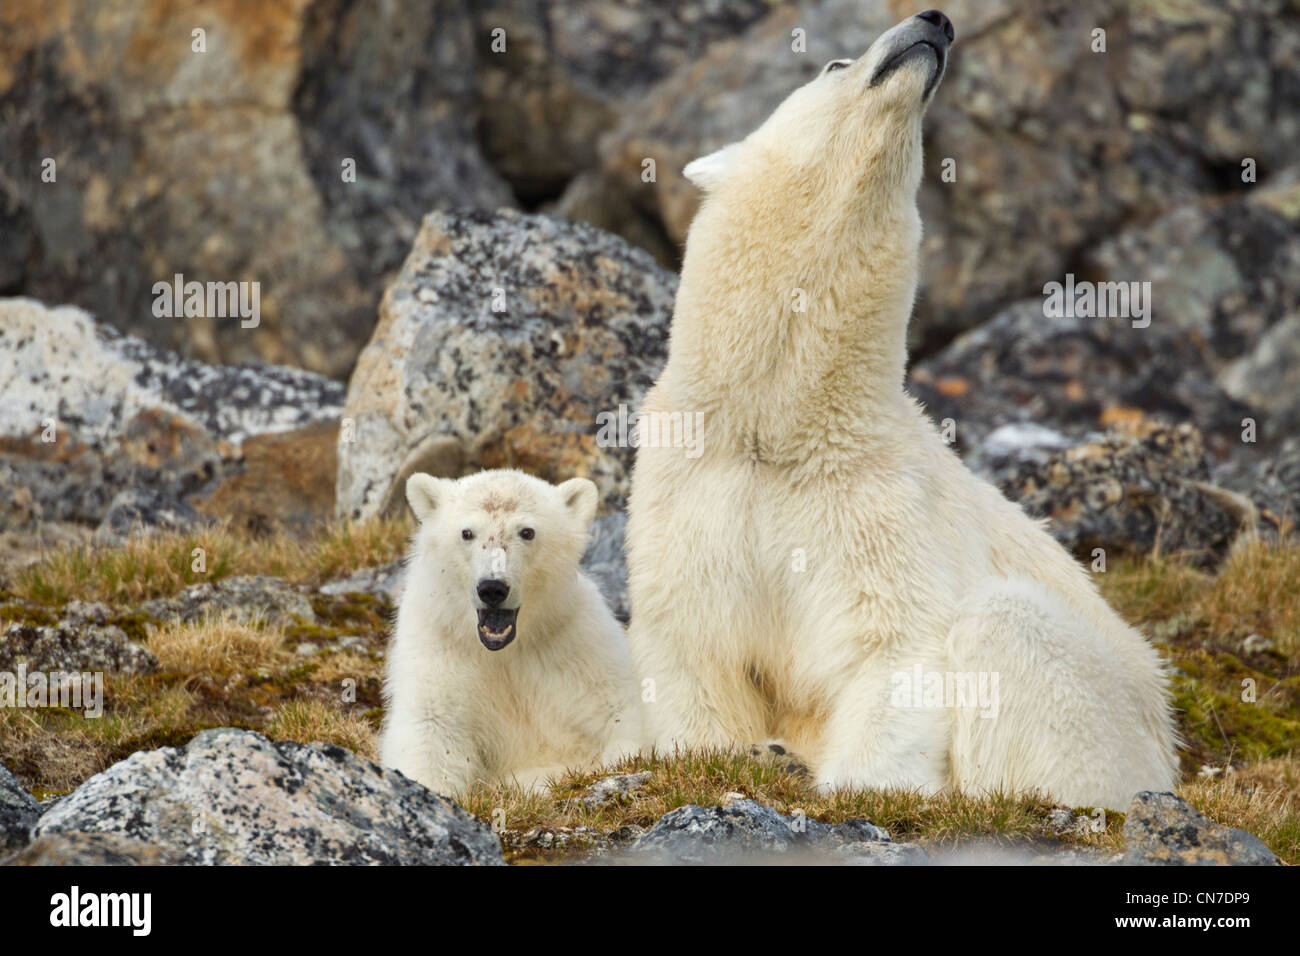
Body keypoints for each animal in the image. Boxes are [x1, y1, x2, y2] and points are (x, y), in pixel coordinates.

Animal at [381, 469, 641, 795]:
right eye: (467, 532)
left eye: (527, 532)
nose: (492, 588)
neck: (505, 651)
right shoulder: (438, 642)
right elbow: (433, 725)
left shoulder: (578, 643)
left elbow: (619, 711)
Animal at [624, 10, 1178, 811]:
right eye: (833, 63)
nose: (935, 23)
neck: (779, 424)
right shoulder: (692, 492)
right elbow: (692, 649)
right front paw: (748, 753)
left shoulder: (879, 505)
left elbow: (894, 648)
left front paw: (855, 786)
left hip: (1114, 709)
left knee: (1005, 629)